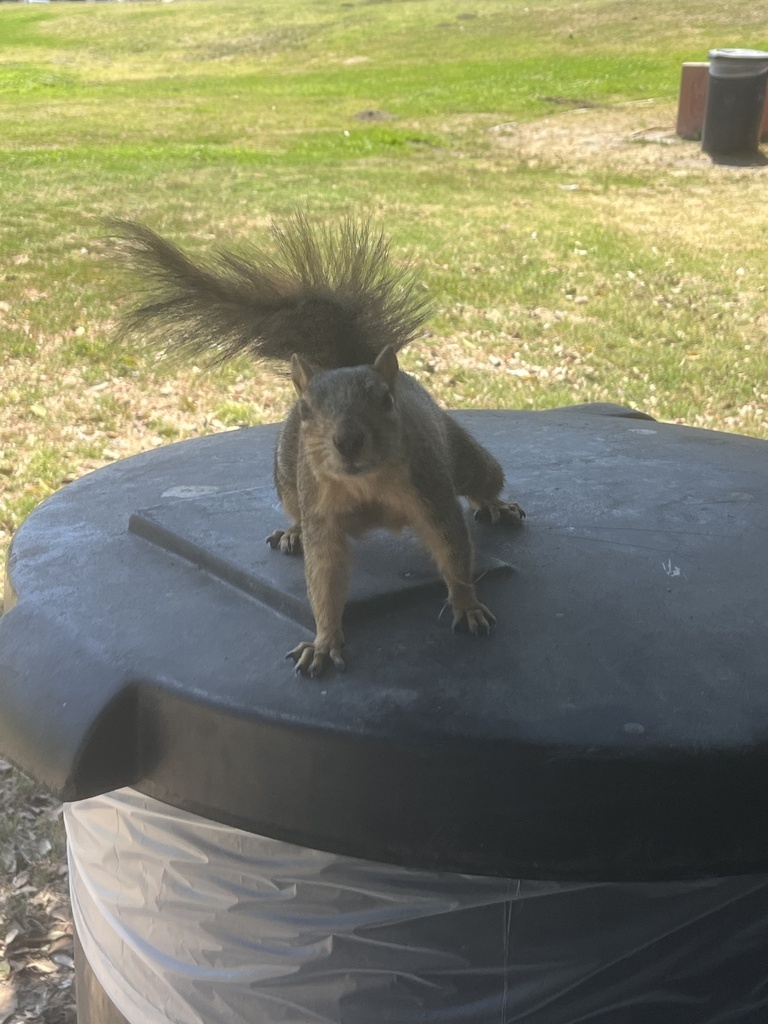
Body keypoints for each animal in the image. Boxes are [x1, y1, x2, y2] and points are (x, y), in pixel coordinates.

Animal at [112, 214, 525, 677]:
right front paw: (324, 642)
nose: (347, 441)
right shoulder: (321, 513)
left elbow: (453, 551)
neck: (366, 485)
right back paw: (291, 532)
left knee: (483, 479)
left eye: (386, 401)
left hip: (466, 458)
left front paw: (468, 605)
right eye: (307, 409)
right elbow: (324, 578)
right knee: (296, 514)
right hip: (288, 479)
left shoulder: (430, 491)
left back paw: (496, 506)